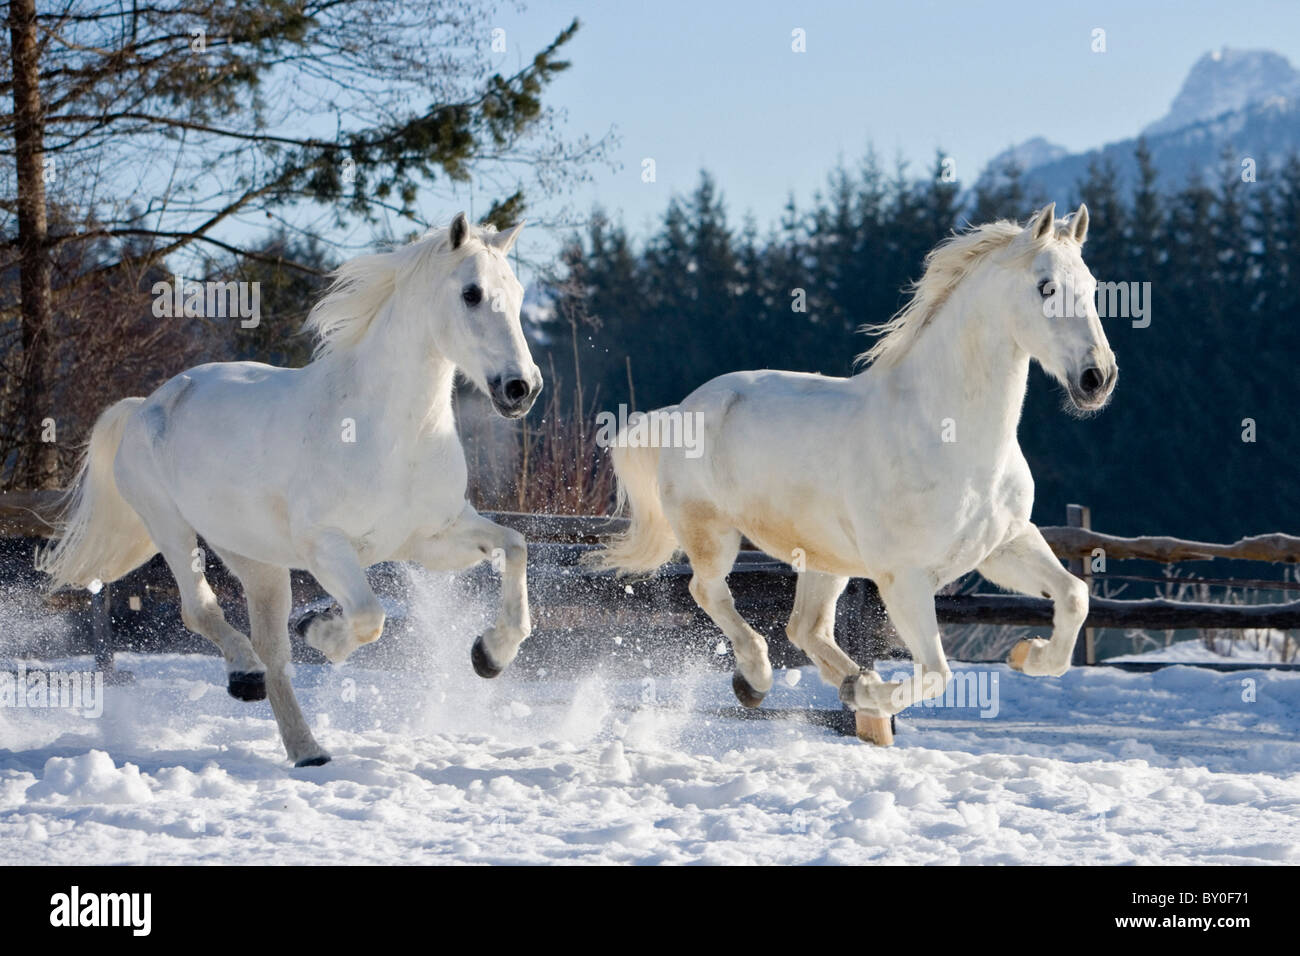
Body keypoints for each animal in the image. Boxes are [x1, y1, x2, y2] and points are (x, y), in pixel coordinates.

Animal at [38, 214, 541, 766]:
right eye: (471, 293)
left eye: (518, 293)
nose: (522, 388)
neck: (390, 431)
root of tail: (145, 404)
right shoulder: (325, 545)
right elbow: (369, 616)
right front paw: (320, 631)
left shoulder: (433, 537)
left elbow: (515, 546)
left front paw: (489, 655)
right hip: (171, 529)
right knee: (202, 610)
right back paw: (245, 677)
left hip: (257, 561)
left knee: (273, 653)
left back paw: (308, 750)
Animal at [593, 203, 1117, 728]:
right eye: (1045, 286)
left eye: (1092, 285)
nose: (1098, 378)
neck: (948, 436)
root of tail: (680, 409)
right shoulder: (904, 577)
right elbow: (937, 674)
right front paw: (873, 696)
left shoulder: (1003, 545)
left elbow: (1074, 596)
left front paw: (1029, 655)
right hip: (711, 533)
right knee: (709, 592)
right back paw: (758, 679)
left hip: (823, 559)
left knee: (804, 628)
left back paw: (848, 682)